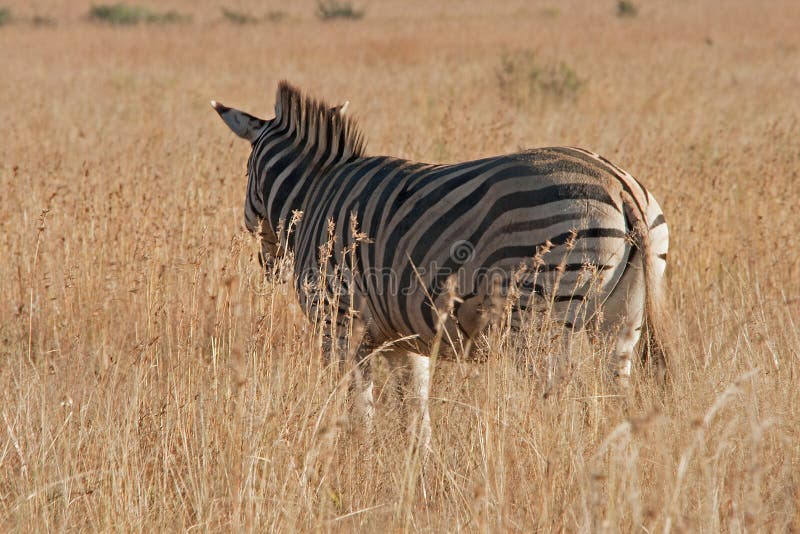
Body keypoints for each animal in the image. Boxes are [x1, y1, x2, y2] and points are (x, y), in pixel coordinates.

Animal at [212, 81, 669, 448]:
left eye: (247, 174)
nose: (268, 265)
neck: (313, 195)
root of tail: (618, 182)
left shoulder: (339, 323)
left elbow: (357, 404)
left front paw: (354, 454)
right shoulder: (403, 336)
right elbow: (415, 409)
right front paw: (414, 465)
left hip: (540, 314)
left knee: (557, 398)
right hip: (622, 317)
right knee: (617, 394)